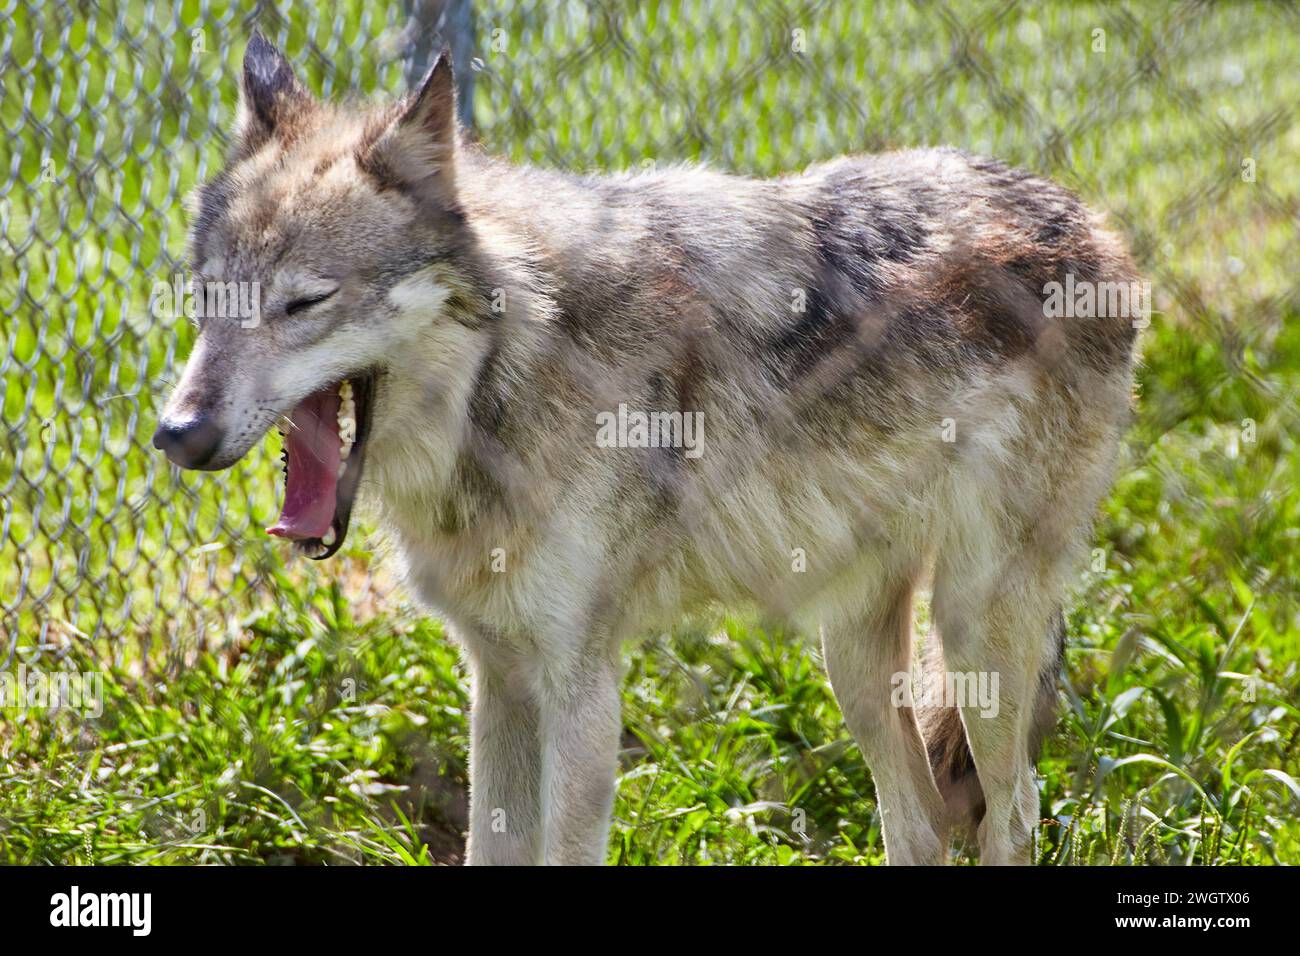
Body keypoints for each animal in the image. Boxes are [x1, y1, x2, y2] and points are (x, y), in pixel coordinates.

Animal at [154, 33, 1139, 865]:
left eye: (303, 303)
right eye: (207, 298)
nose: (176, 434)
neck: (509, 374)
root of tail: (1089, 220)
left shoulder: (582, 688)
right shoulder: (499, 677)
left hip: (973, 637)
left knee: (1013, 815)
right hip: (854, 658)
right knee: (923, 824)